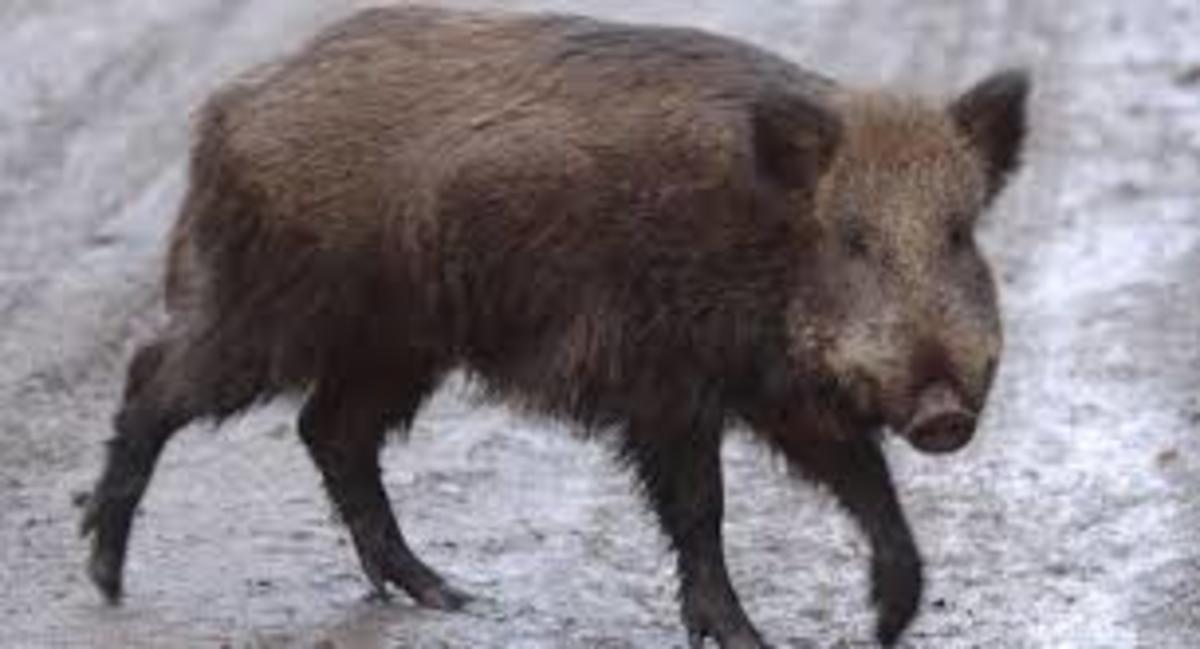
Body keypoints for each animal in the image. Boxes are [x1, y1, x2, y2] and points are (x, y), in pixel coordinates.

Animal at [80, 5, 1028, 648]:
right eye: (853, 238)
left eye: (960, 231)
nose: (944, 411)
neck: (766, 242)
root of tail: (228, 106)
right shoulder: (666, 386)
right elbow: (702, 509)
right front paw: (746, 636)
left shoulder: (783, 391)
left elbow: (868, 484)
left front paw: (887, 621)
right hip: (273, 311)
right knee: (154, 377)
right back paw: (107, 577)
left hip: (398, 343)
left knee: (330, 430)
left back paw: (446, 595)